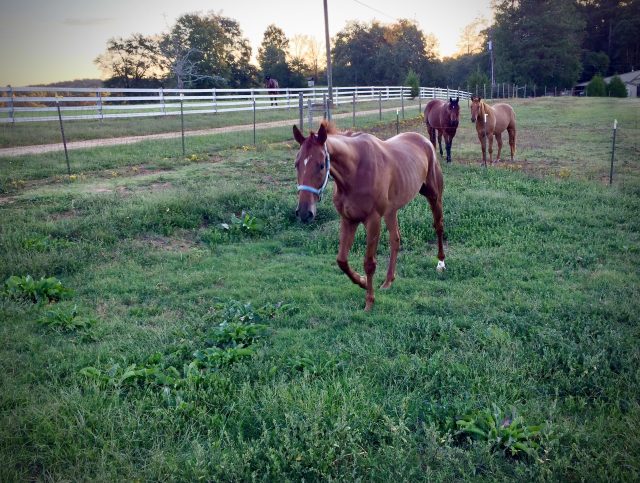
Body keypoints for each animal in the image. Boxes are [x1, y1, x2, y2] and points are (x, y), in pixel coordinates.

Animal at [292, 120, 446, 311]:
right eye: (297, 164)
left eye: (321, 165)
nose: (304, 213)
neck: (355, 172)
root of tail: (424, 141)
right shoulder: (348, 220)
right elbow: (341, 260)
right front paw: (363, 282)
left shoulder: (373, 221)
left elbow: (369, 263)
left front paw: (369, 301)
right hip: (391, 211)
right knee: (395, 240)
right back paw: (388, 281)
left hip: (434, 197)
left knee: (438, 226)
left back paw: (441, 263)